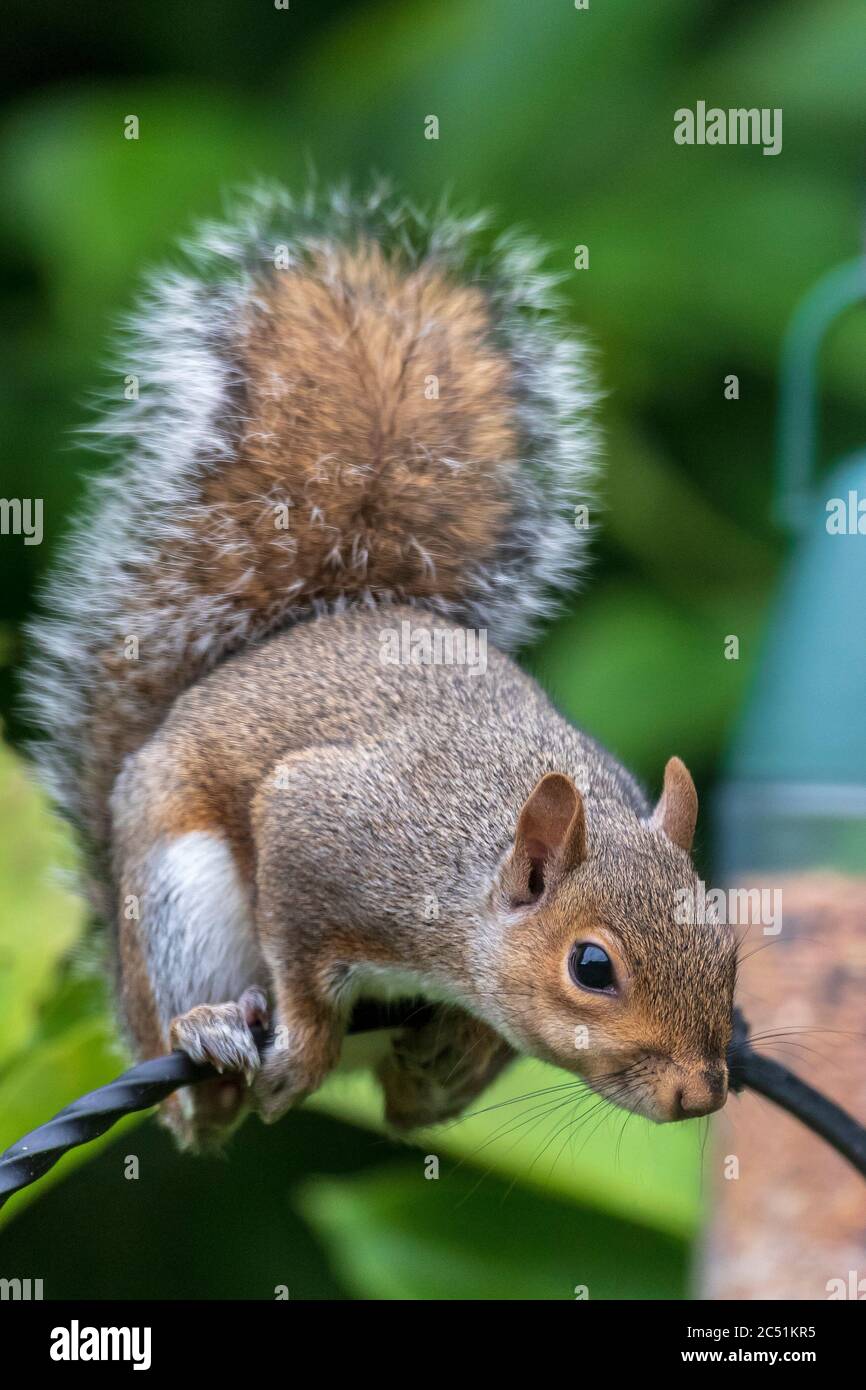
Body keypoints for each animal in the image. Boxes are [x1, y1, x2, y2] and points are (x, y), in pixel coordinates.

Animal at [26, 185, 736, 1149]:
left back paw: (441, 1069)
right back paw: (207, 1041)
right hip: (178, 898)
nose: (700, 1093)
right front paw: (303, 1043)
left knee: (405, 1108)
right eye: (592, 967)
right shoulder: (331, 837)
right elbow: (302, 968)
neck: (470, 879)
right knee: (195, 1104)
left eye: (730, 944)